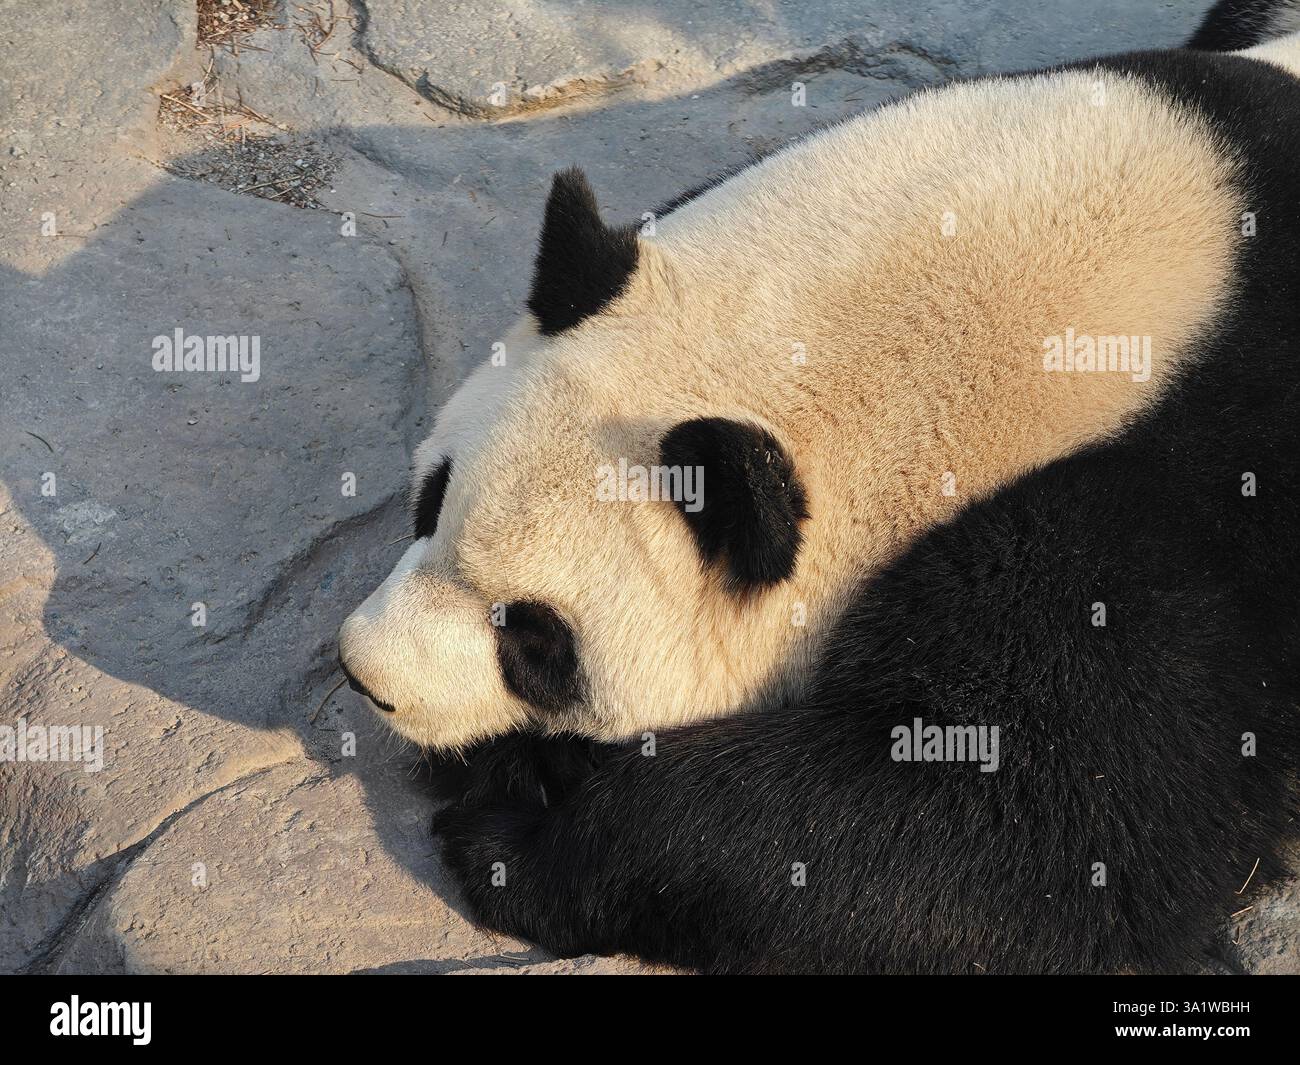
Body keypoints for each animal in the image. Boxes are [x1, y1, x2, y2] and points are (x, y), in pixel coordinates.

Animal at [338, 3, 1300, 974]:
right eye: (431, 500)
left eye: (535, 640)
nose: (365, 675)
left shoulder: (1154, 515)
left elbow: (1020, 835)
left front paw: (521, 824)